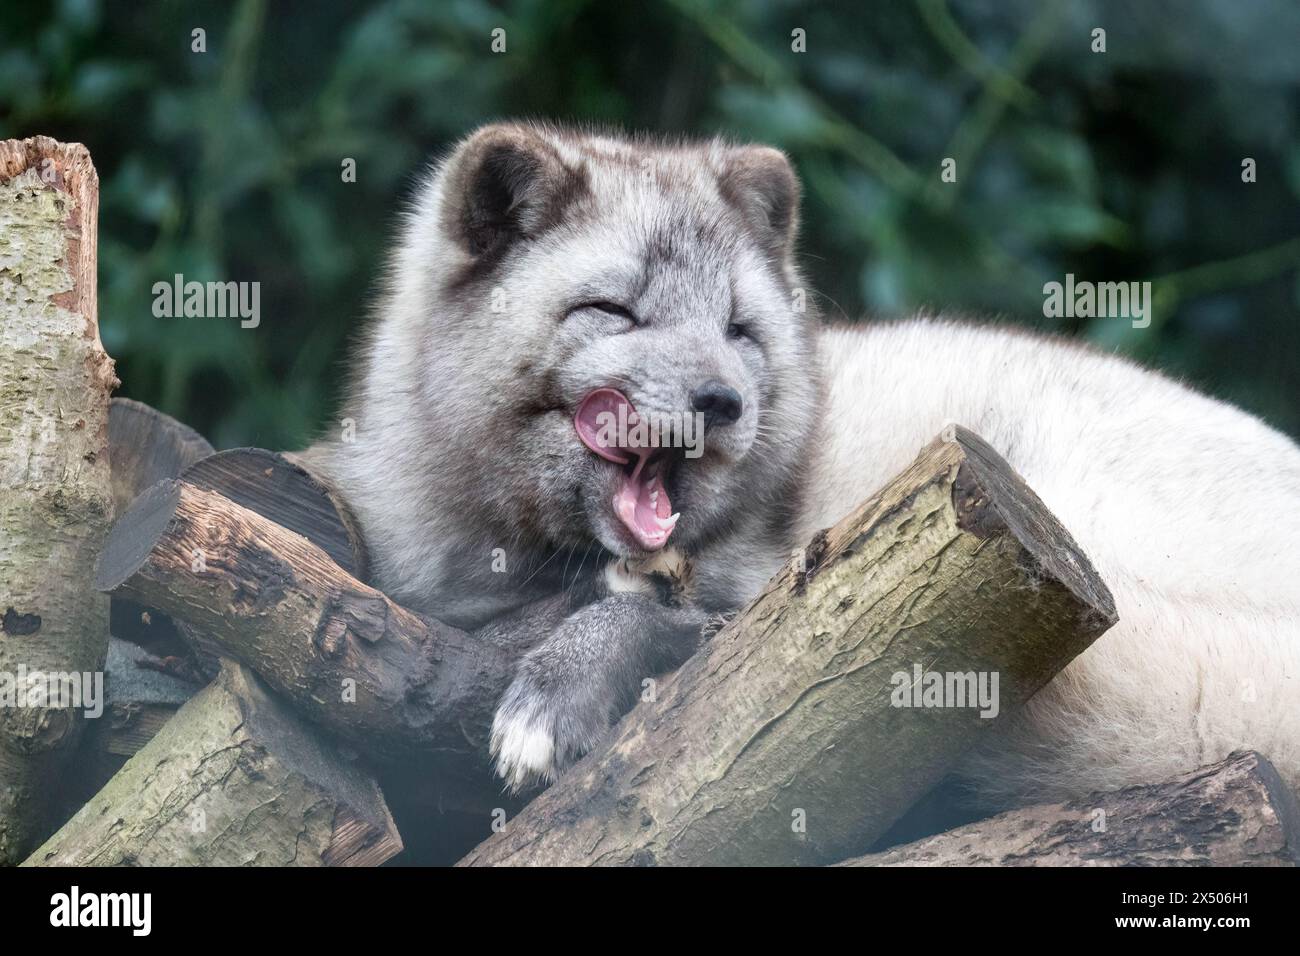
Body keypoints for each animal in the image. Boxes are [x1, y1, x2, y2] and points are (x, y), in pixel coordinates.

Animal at [306, 121, 1300, 806]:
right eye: (615, 312)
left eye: (738, 330)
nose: (722, 401)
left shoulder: (766, 577)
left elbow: (663, 615)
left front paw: (561, 686)